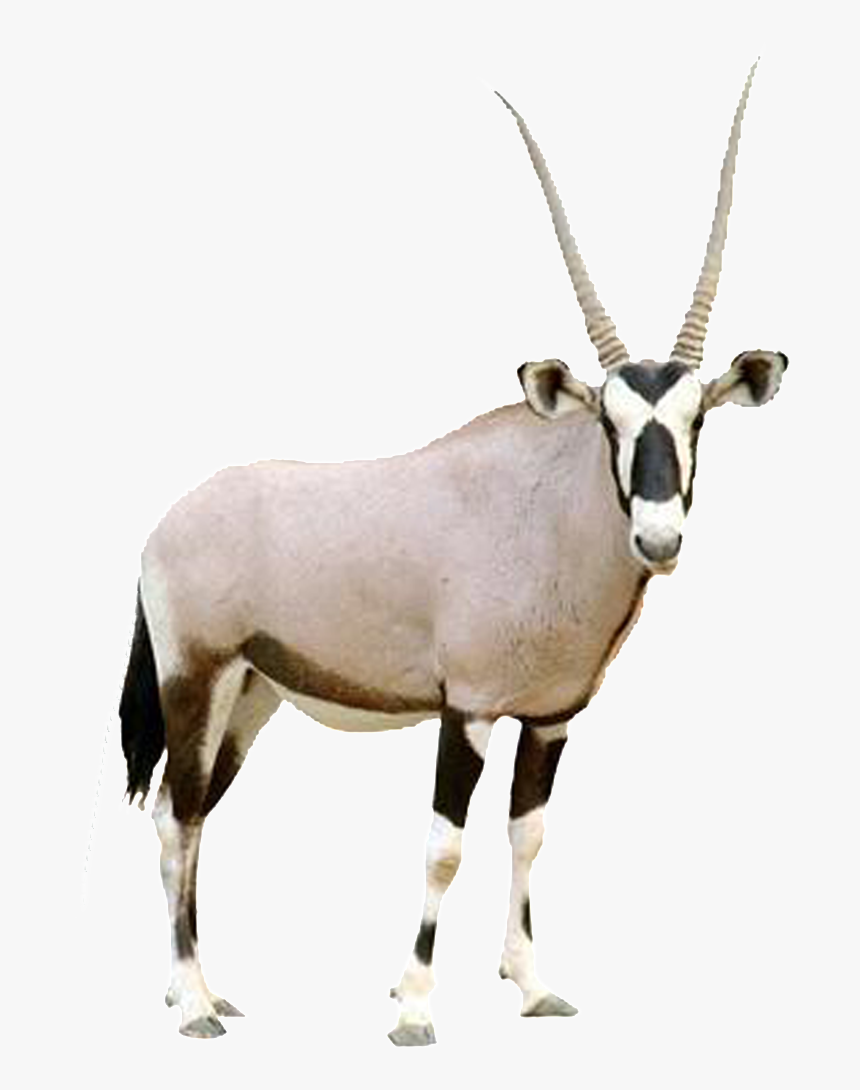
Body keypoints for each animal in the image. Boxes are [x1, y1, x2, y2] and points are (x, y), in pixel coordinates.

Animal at [120, 60, 786, 1045]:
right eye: (608, 420)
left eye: (696, 417)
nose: (659, 538)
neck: (547, 514)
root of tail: (166, 522)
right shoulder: (465, 710)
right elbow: (445, 846)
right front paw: (413, 1008)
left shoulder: (549, 718)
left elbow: (527, 835)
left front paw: (534, 986)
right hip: (195, 680)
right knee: (176, 816)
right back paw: (196, 1003)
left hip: (251, 697)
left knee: (193, 815)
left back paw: (196, 989)